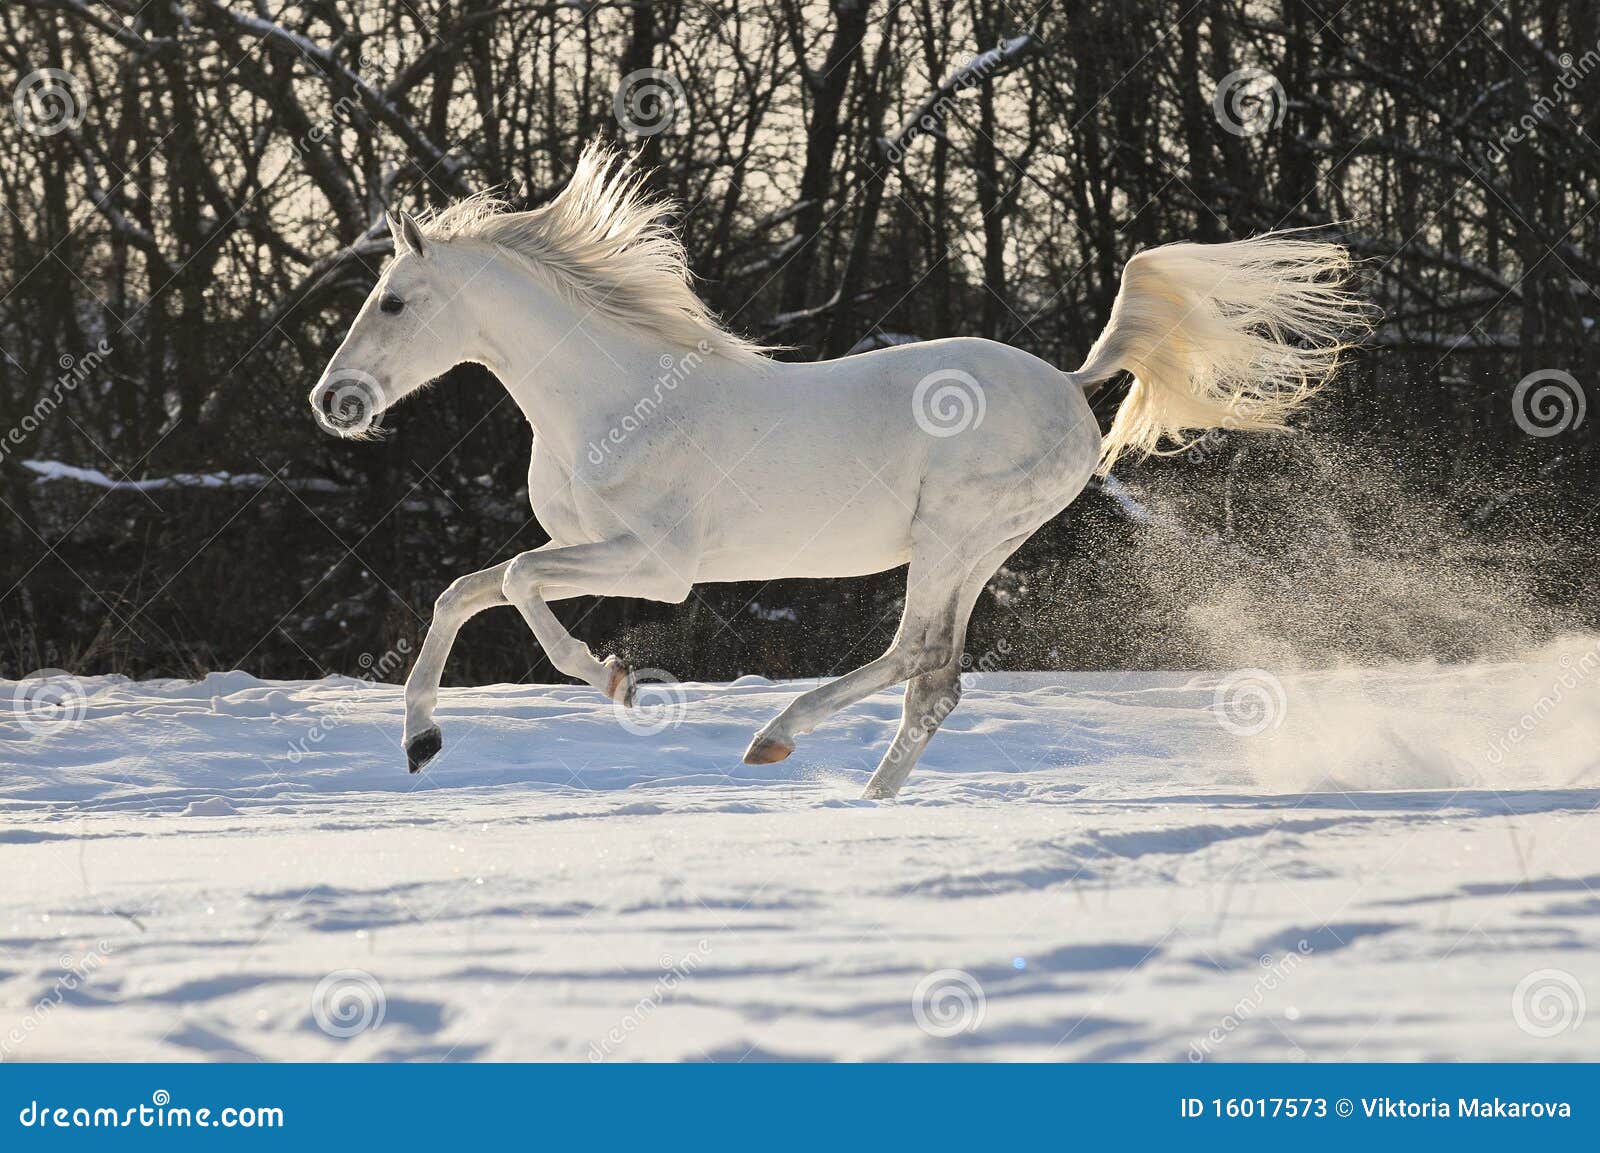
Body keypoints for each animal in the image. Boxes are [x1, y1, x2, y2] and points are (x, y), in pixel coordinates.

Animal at [309, 144, 1363, 798]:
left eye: (394, 301)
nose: (334, 402)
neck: (612, 397)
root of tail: (1070, 380)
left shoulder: (656, 563)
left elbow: (521, 585)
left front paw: (616, 681)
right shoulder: (587, 546)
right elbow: (462, 592)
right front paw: (420, 742)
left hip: (954, 534)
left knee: (921, 661)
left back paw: (797, 754)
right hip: (974, 549)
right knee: (929, 673)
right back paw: (841, 783)